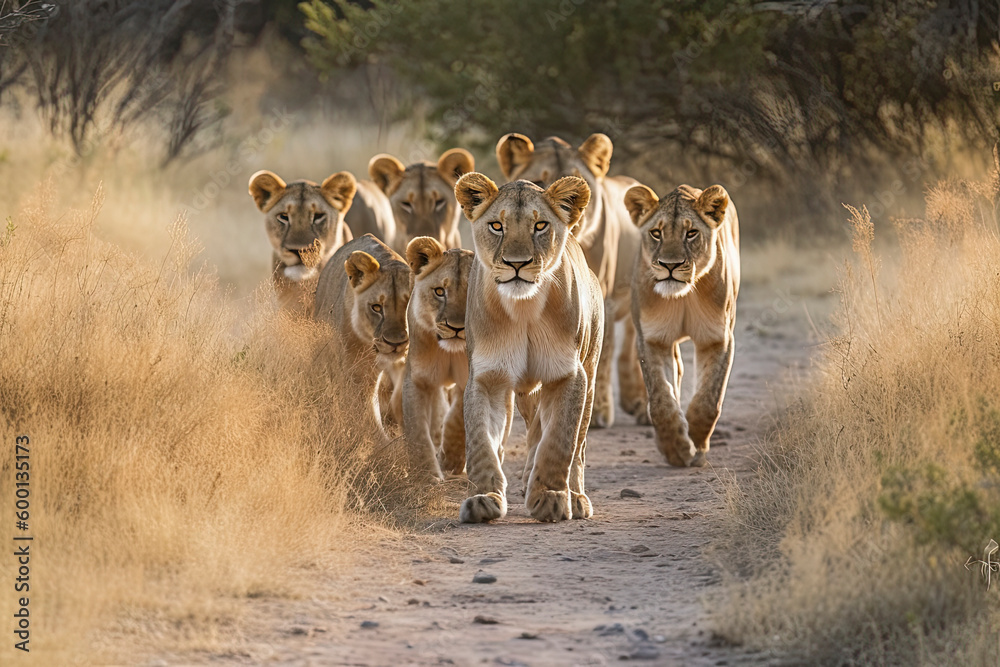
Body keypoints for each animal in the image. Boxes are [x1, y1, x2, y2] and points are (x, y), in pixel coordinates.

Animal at [401, 236, 474, 479]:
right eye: (440, 291)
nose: (456, 328)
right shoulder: (418, 379)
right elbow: (417, 432)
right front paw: (427, 476)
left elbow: (458, 419)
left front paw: (450, 461)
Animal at [454, 173, 604, 523]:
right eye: (497, 226)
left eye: (540, 226)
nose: (517, 264)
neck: (523, 308)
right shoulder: (486, 377)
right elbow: (481, 441)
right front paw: (484, 498)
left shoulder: (568, 374)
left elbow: (559, 440)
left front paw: (550, 498)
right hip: (524, 391)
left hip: (590, 375)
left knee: (577, 443)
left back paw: (575, 496)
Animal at [624, 183, 740, 467]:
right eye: (656, 233)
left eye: (691, 233)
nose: (670, 265)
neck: (684, 296)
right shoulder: (653, 338)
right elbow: (661, 401)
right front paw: (676, 449)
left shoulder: (717, 338)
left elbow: (707, 400)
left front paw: (696, 445)